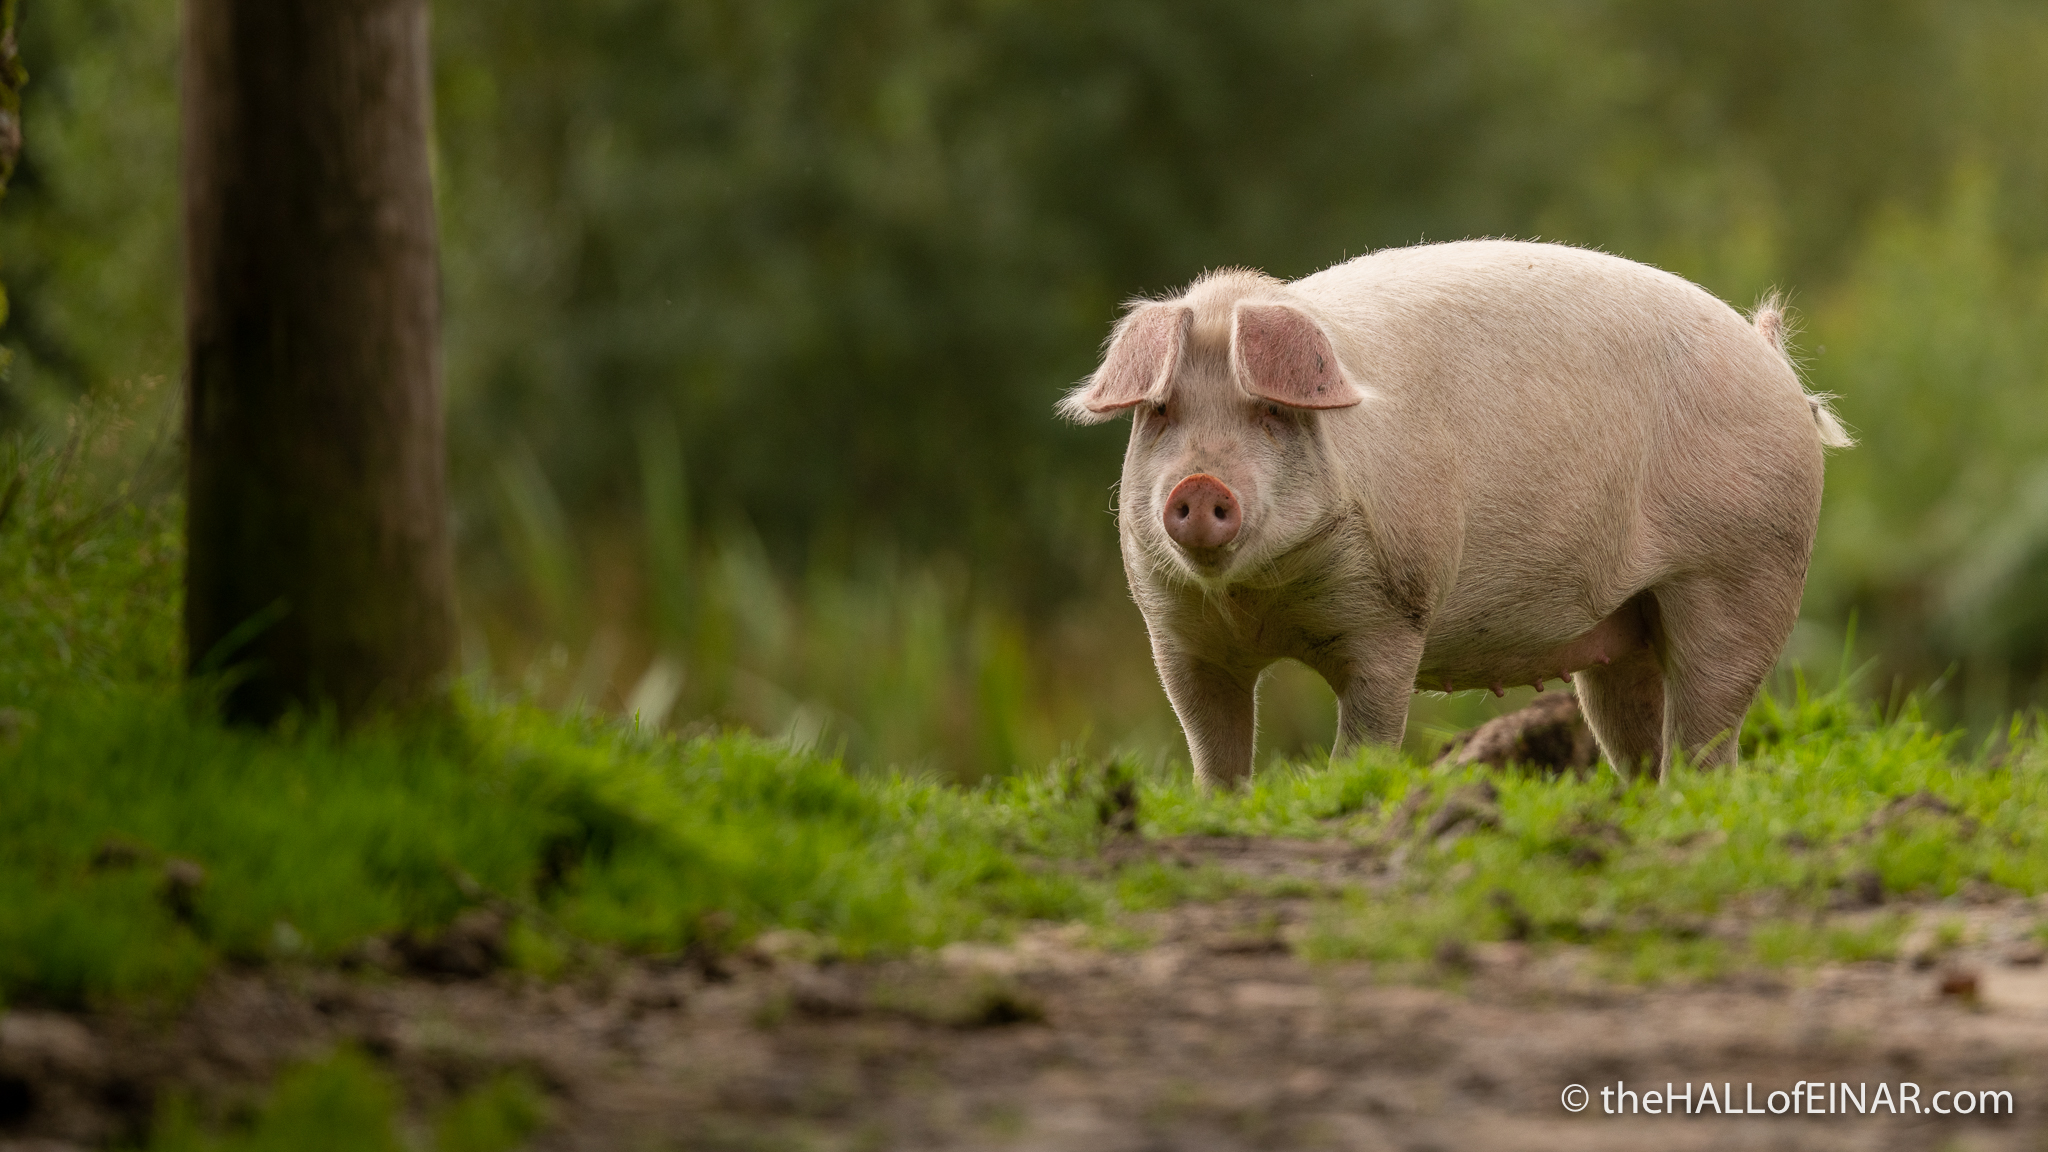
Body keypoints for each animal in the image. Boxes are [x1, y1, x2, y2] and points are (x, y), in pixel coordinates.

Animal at [1058, 239, 1852, 788]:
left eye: (1272, 413)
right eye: (1163, 412)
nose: (1198, 484)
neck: (1260, 602)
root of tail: (1772, 360)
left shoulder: (1393, 610)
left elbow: (1368, 730)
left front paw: (1350, 791)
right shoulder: (1176, 629)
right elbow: (1211, 747)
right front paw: (1221, 803)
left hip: (1745, 569)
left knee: (1709, 725)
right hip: (1632, 621)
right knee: (1638, 734)